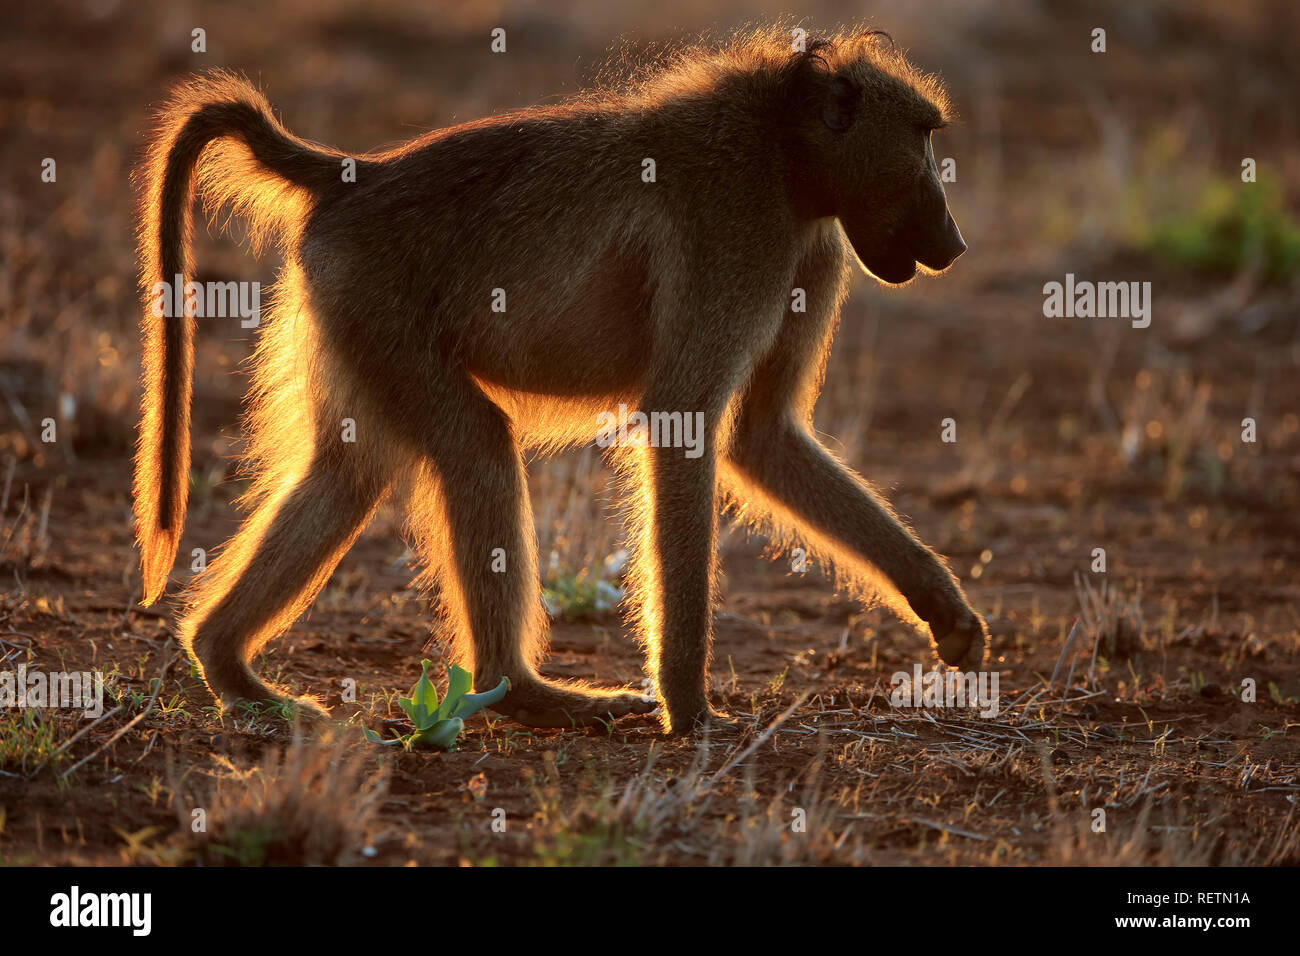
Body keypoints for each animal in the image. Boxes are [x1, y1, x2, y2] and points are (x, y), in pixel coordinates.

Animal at [134, 26, 987, 735]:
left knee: (346, 474)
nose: (954, 239)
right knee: (475, 446)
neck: (782, 149)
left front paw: (946, 611)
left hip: (352, 312)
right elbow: (686, 418)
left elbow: (762, 437)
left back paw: (229, 666)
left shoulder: (815, 252)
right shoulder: (740, 230)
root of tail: (355, 177)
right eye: (923, 137)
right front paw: (688, 706)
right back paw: (525, 691)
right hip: (374, 301)